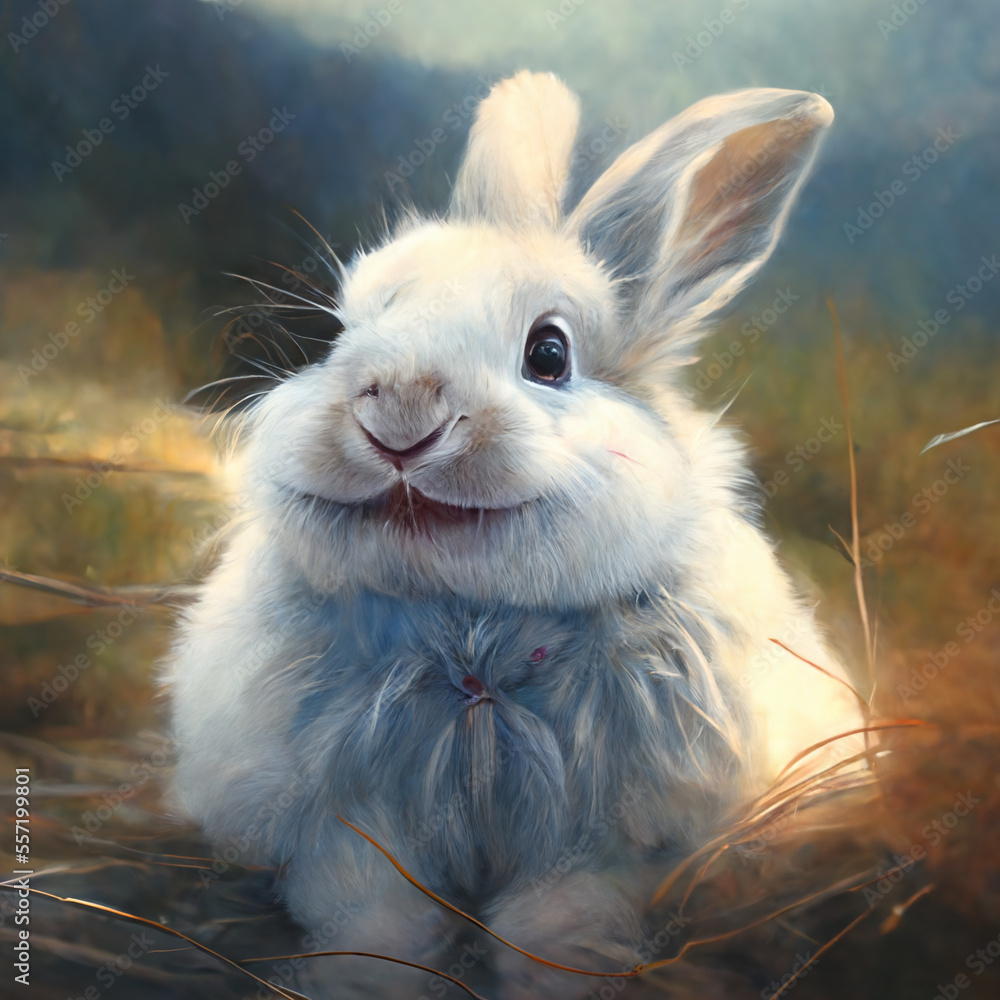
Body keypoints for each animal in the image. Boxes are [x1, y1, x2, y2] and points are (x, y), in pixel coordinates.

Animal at [166, 72, 866, 998]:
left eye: (549, 354)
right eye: (342, 335)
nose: (400, 411)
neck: (475, 640)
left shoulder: (604, 844)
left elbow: (562, 921)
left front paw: (567, 978)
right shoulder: (349, 833)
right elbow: (375, 919)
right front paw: (362, 982)